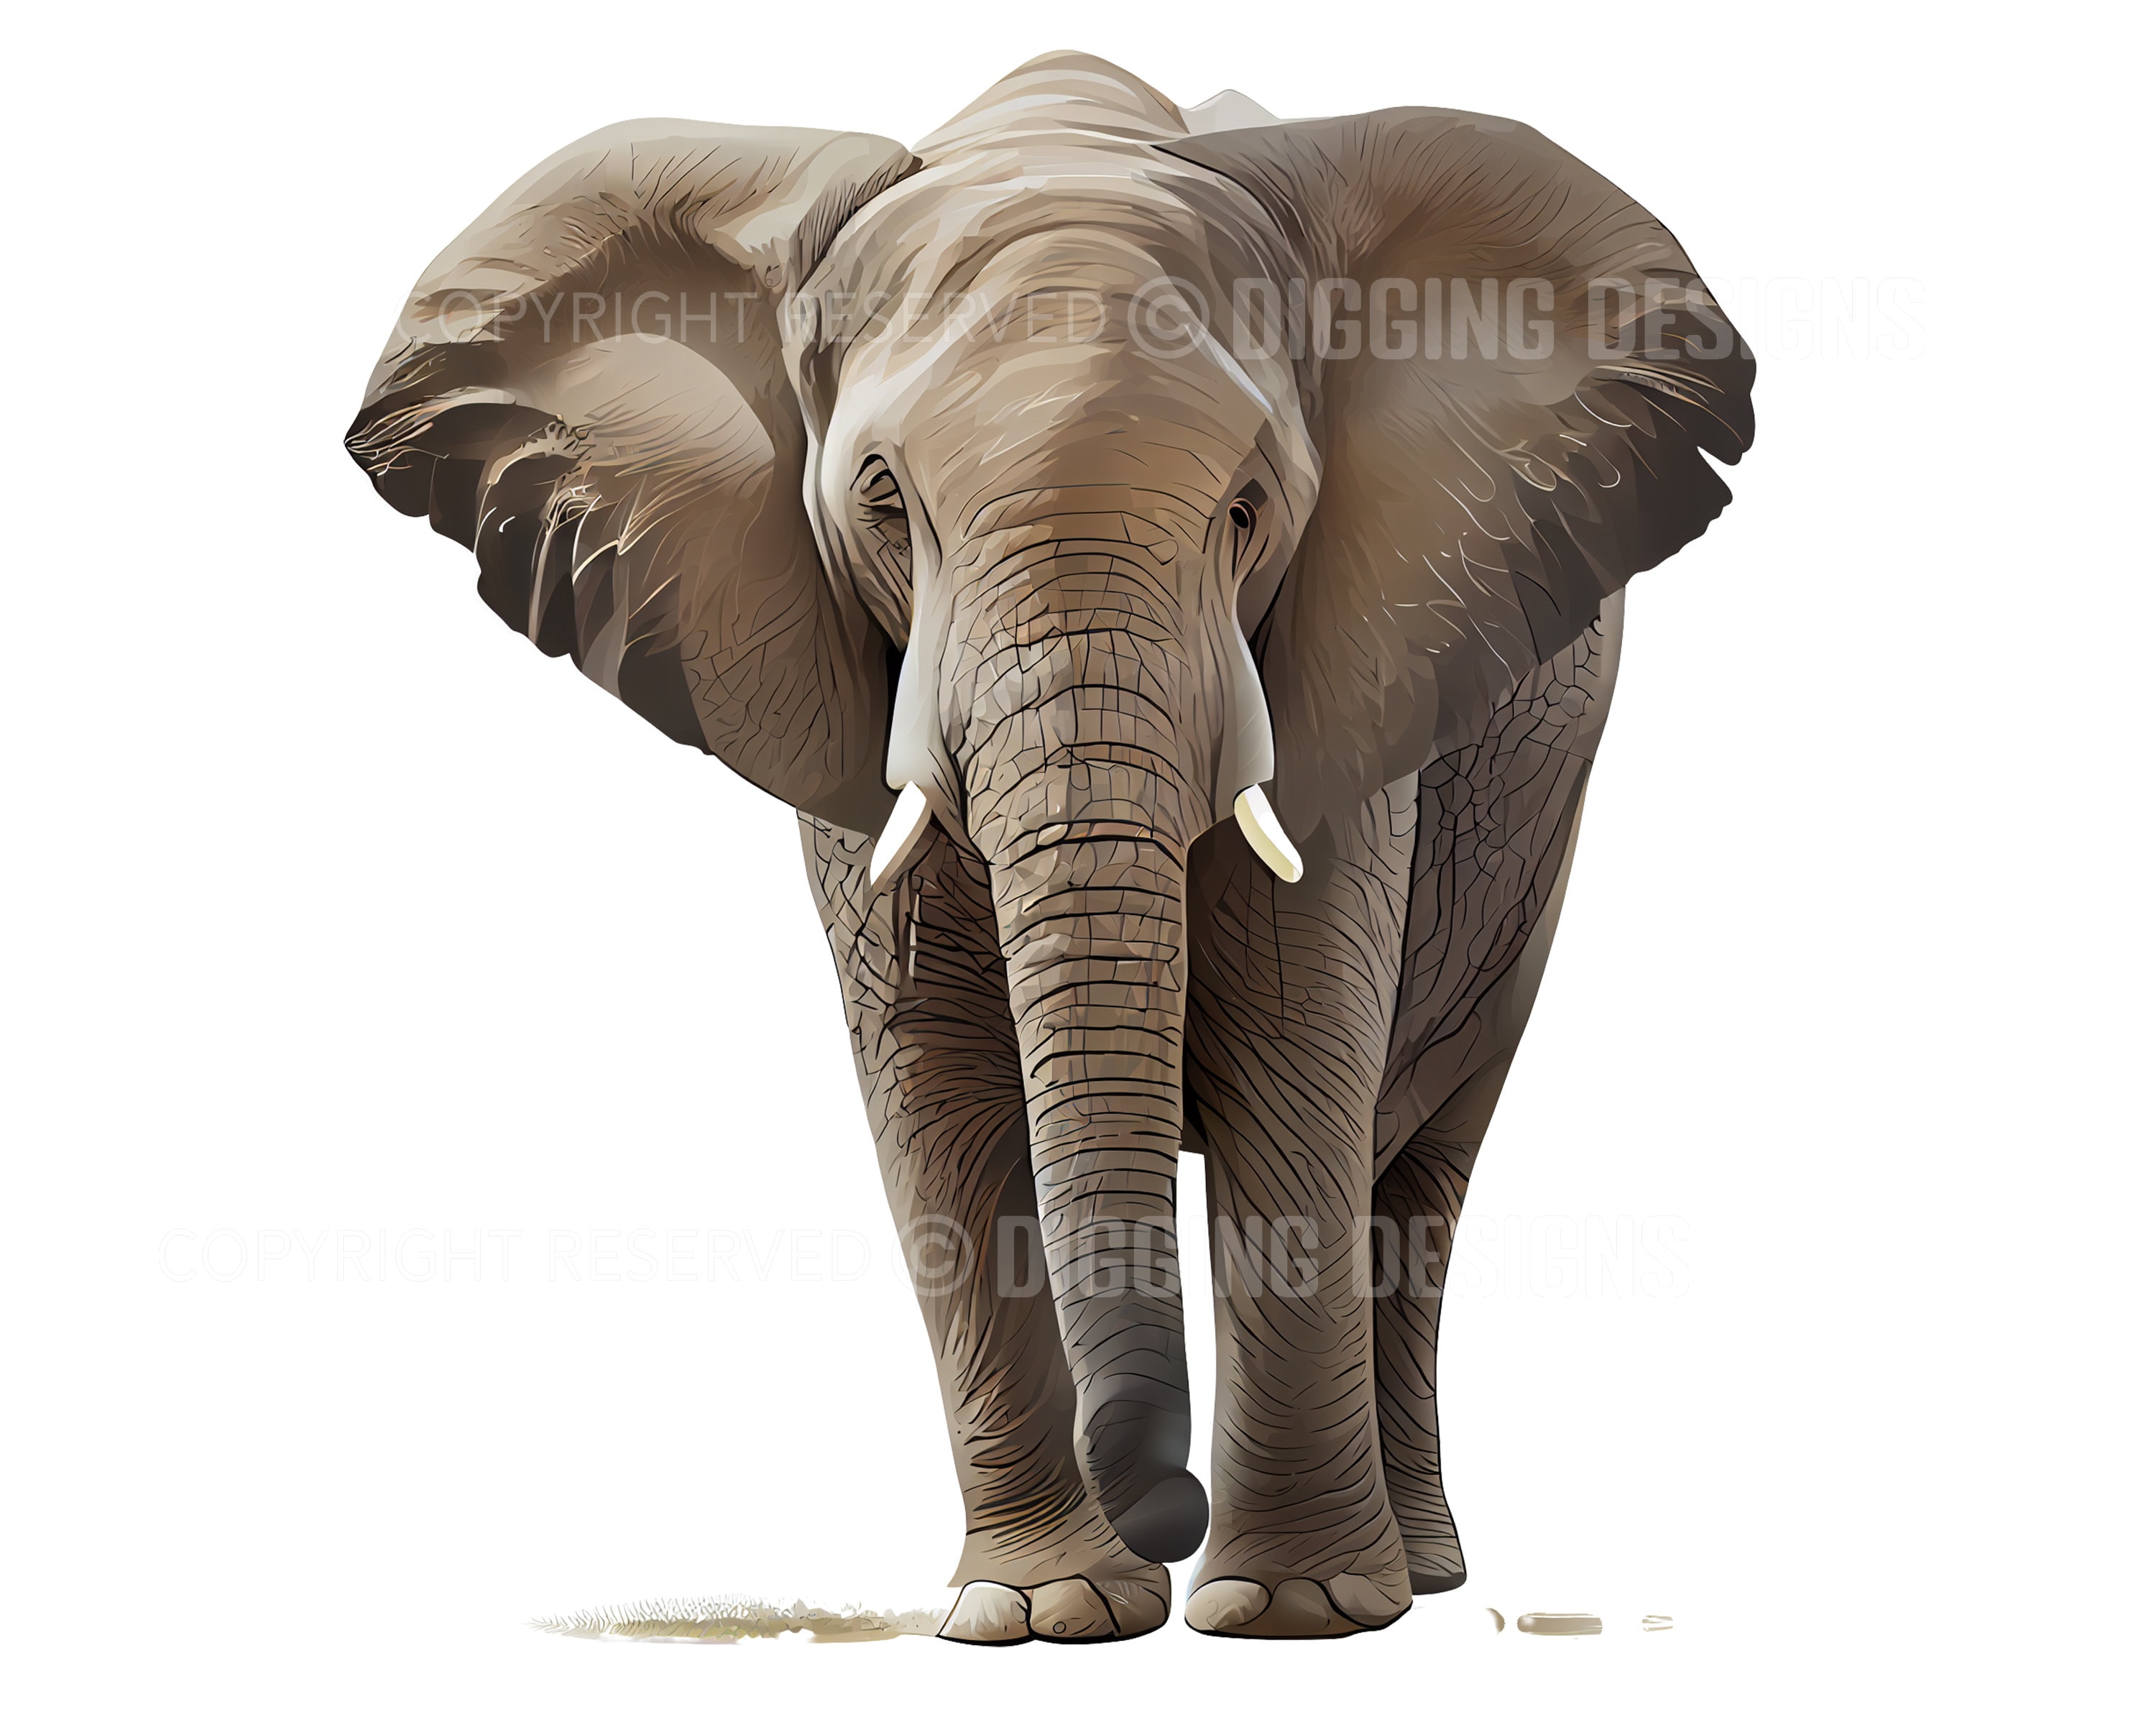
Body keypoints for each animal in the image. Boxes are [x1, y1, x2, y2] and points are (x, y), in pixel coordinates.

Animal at [344, 51, 1753, 1642]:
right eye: (882, 499)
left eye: (1252, 507)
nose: (1170, 1508)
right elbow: (936, 1086)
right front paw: (1043, 1615)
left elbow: (1298, 1057)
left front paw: (1292, 1615)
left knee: (1421, 1162)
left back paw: (1425, 1577)